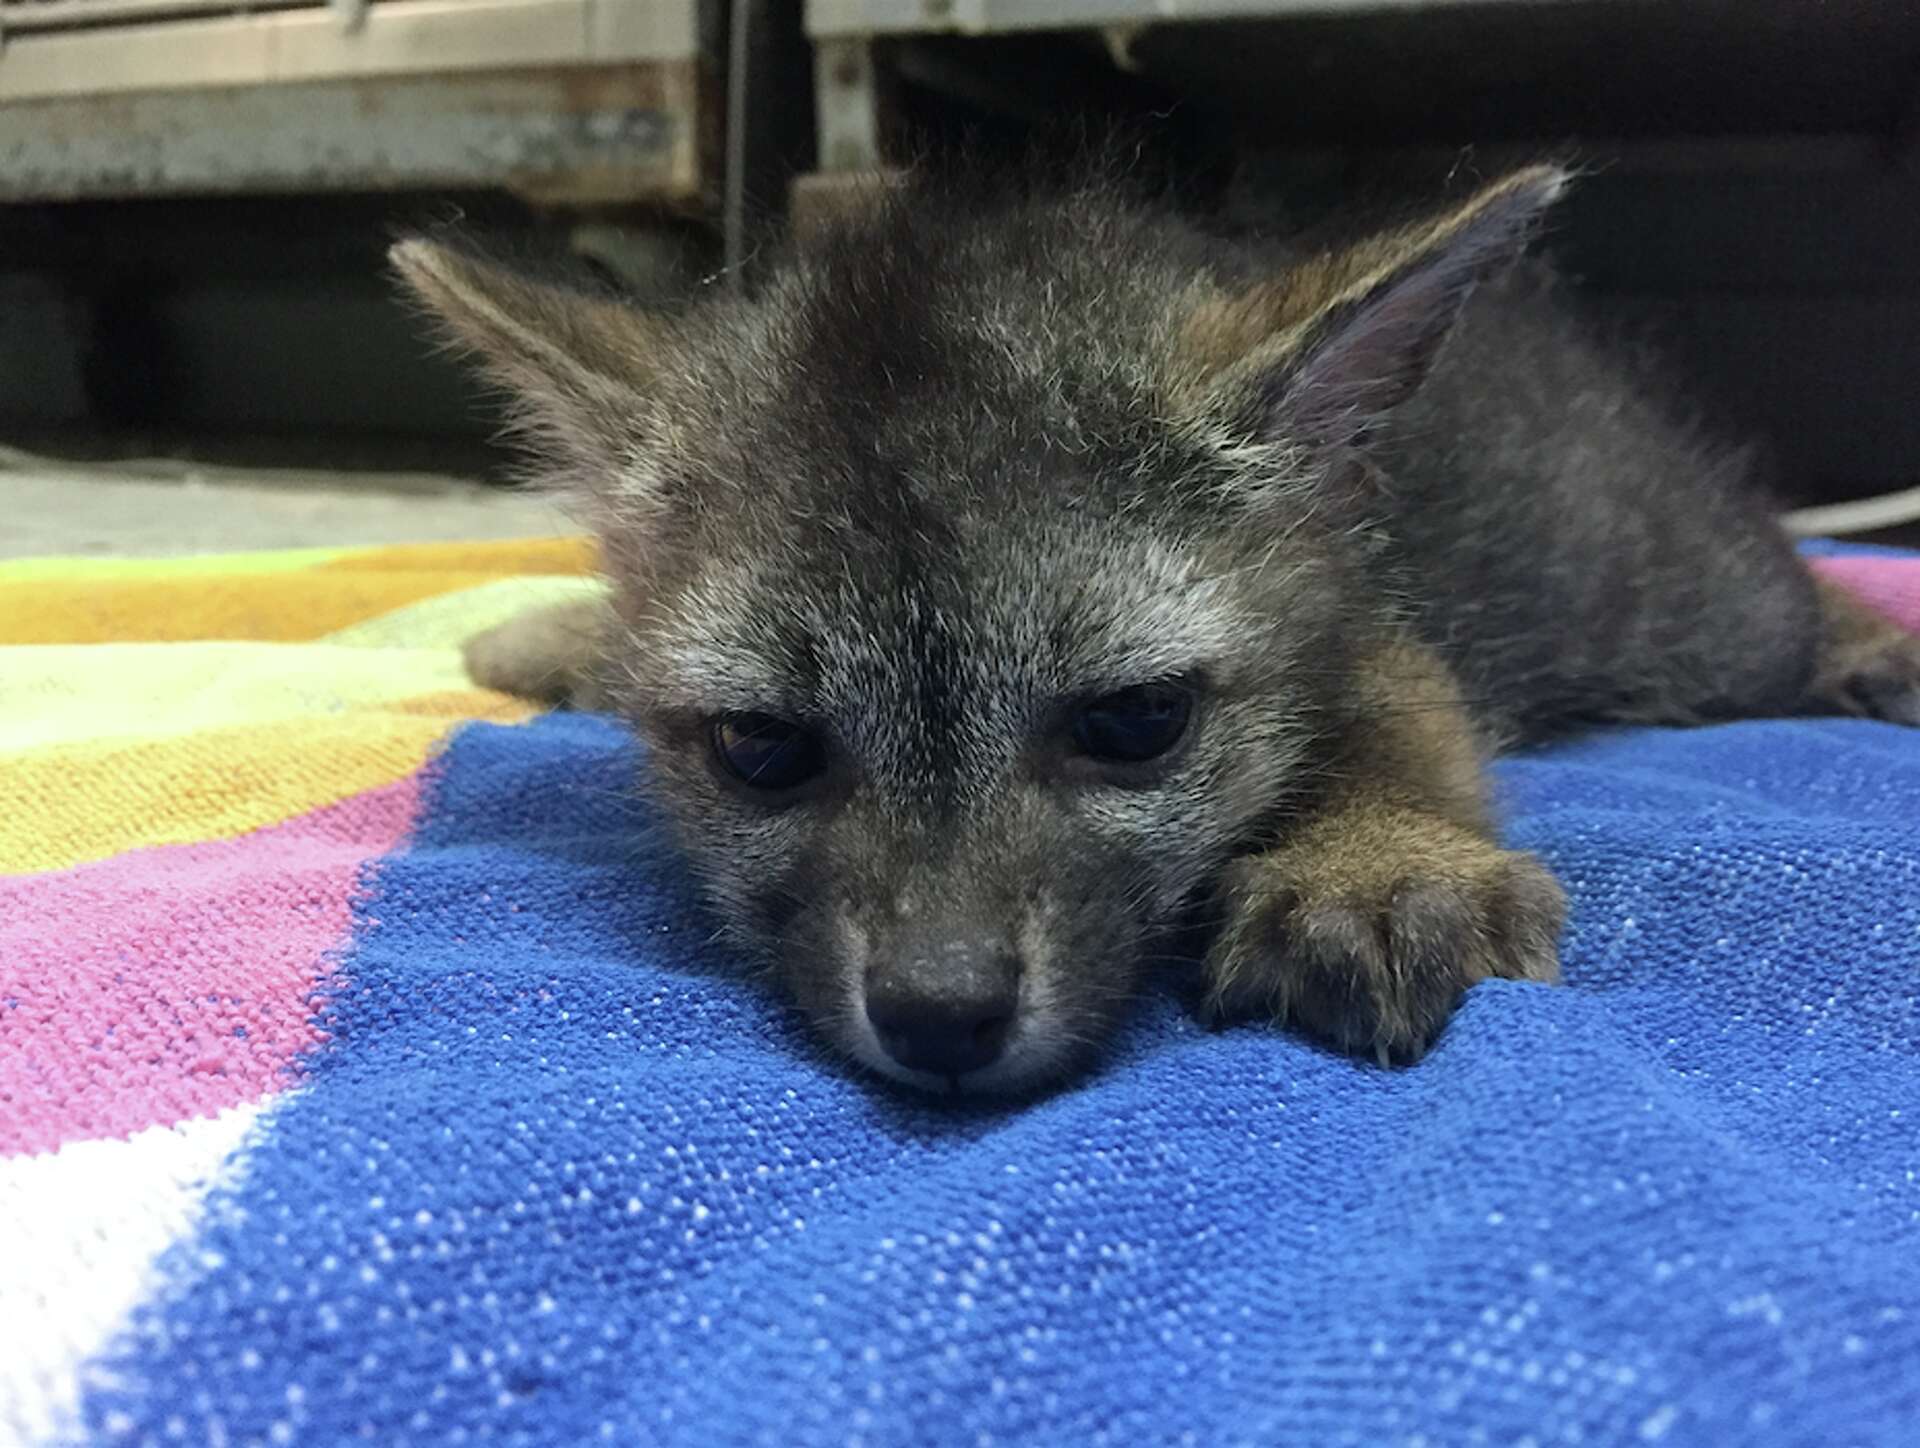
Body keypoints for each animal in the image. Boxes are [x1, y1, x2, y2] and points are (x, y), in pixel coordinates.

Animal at [391, 152, 1920, 1095]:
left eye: (1133, 724)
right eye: (762, 749)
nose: (942, 1011)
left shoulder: (1376, 620)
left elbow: (1399, 717)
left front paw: (1375, 857)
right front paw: (562, 635)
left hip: (1693, 607)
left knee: (1794, 592)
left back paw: (1870, 646)